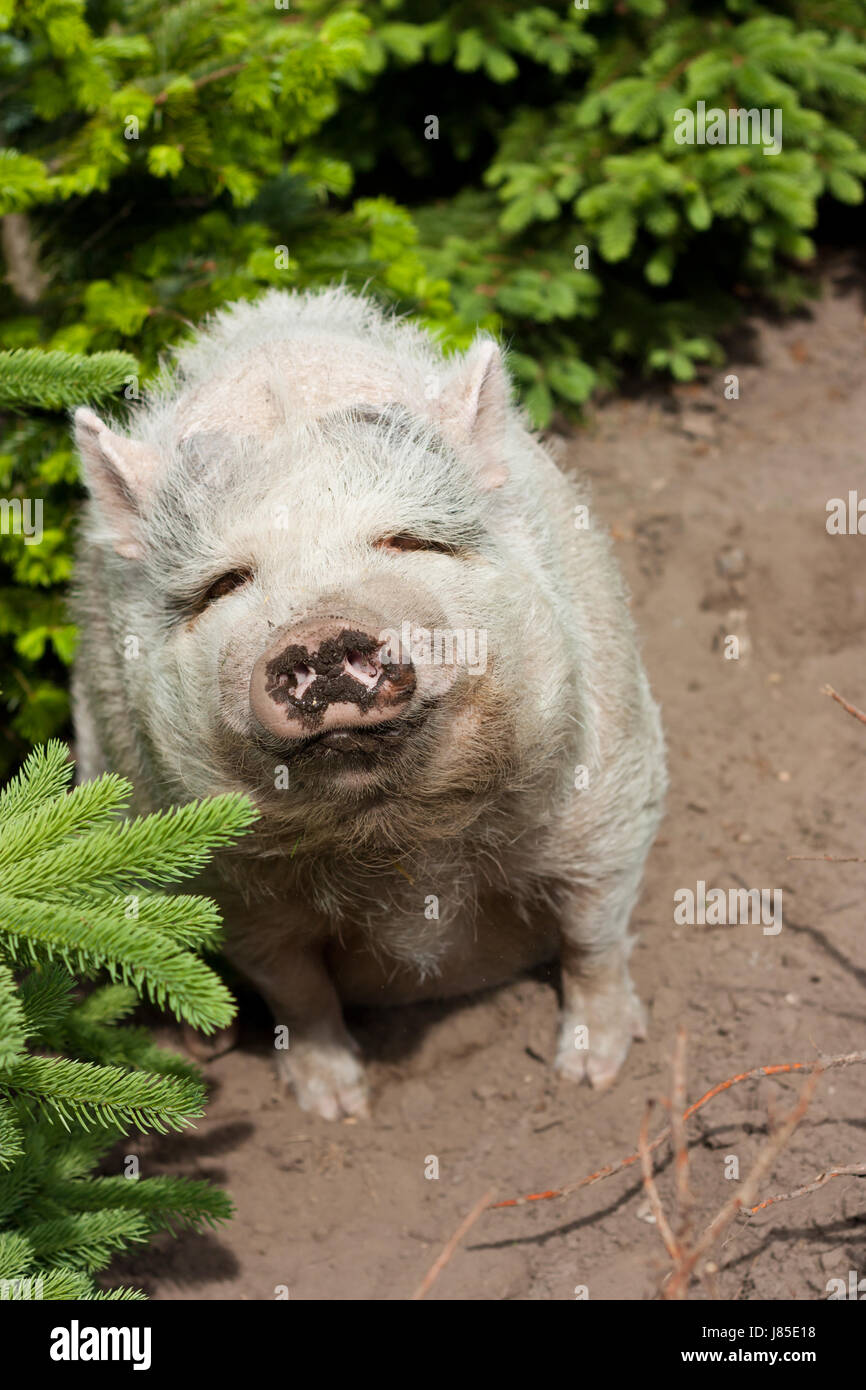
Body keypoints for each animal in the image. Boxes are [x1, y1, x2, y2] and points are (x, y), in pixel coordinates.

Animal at [71, 286, 667, 1120]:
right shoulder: (226, 885)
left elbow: (595, 926)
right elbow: (294, 986)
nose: (317, 632)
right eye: (224, 584)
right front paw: (338, 1108)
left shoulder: (612, 777)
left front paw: (591, 1075)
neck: (390, 840)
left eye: (406, 541)